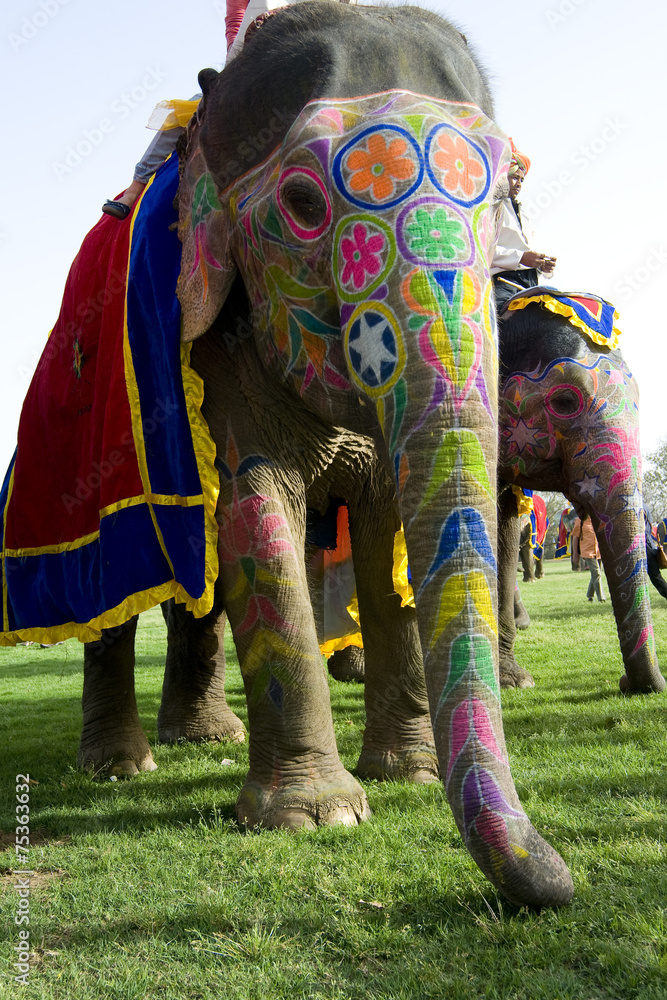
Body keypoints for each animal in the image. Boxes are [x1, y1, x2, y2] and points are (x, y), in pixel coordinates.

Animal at [76, 1, 576, 907]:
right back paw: (123, 768)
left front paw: (406, 776)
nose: (561, 880)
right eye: (304, 202)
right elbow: (251, 514)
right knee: (115, 593)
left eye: (505, 199)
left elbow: (388, 532)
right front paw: (315, 817)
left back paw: (203, 739)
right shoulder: (211, 347)